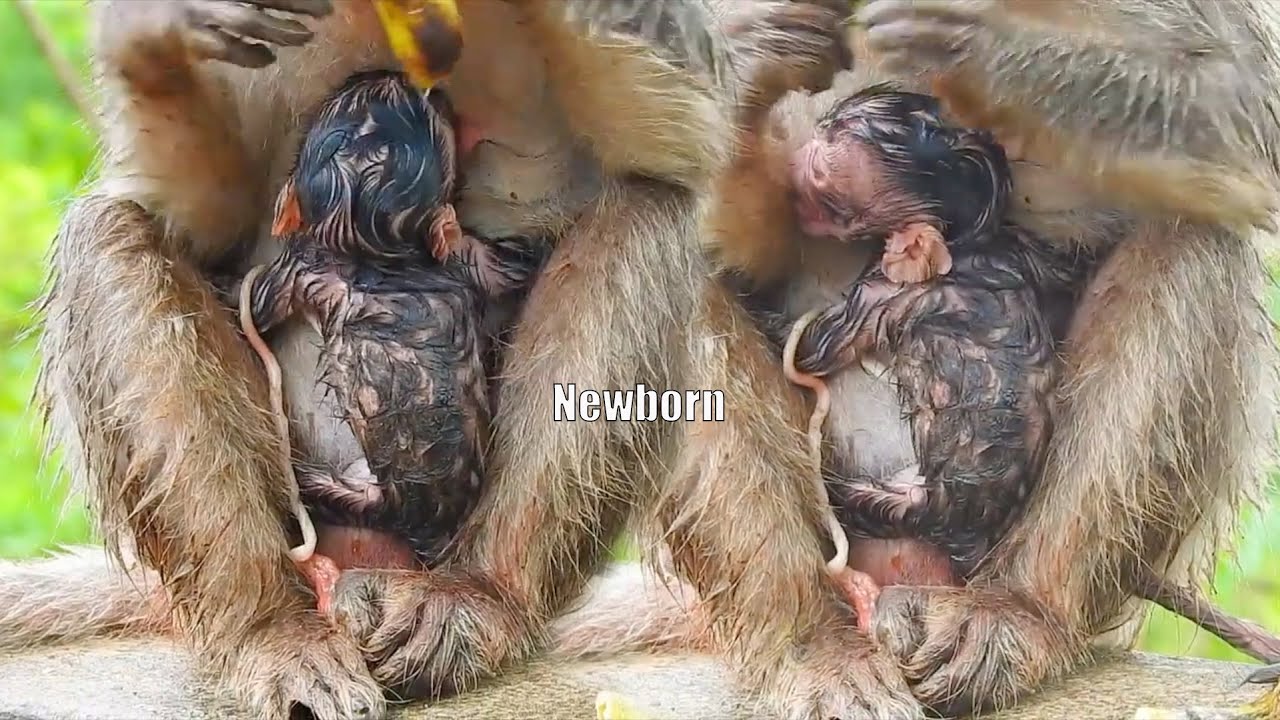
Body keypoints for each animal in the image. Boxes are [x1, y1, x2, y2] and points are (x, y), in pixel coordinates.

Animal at [6, 2, 940, 720]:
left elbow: (672, 148)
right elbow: (204, 212)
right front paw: (159, 39)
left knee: (650, 218)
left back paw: (481, 601)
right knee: (114, 232)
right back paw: (268, 627)